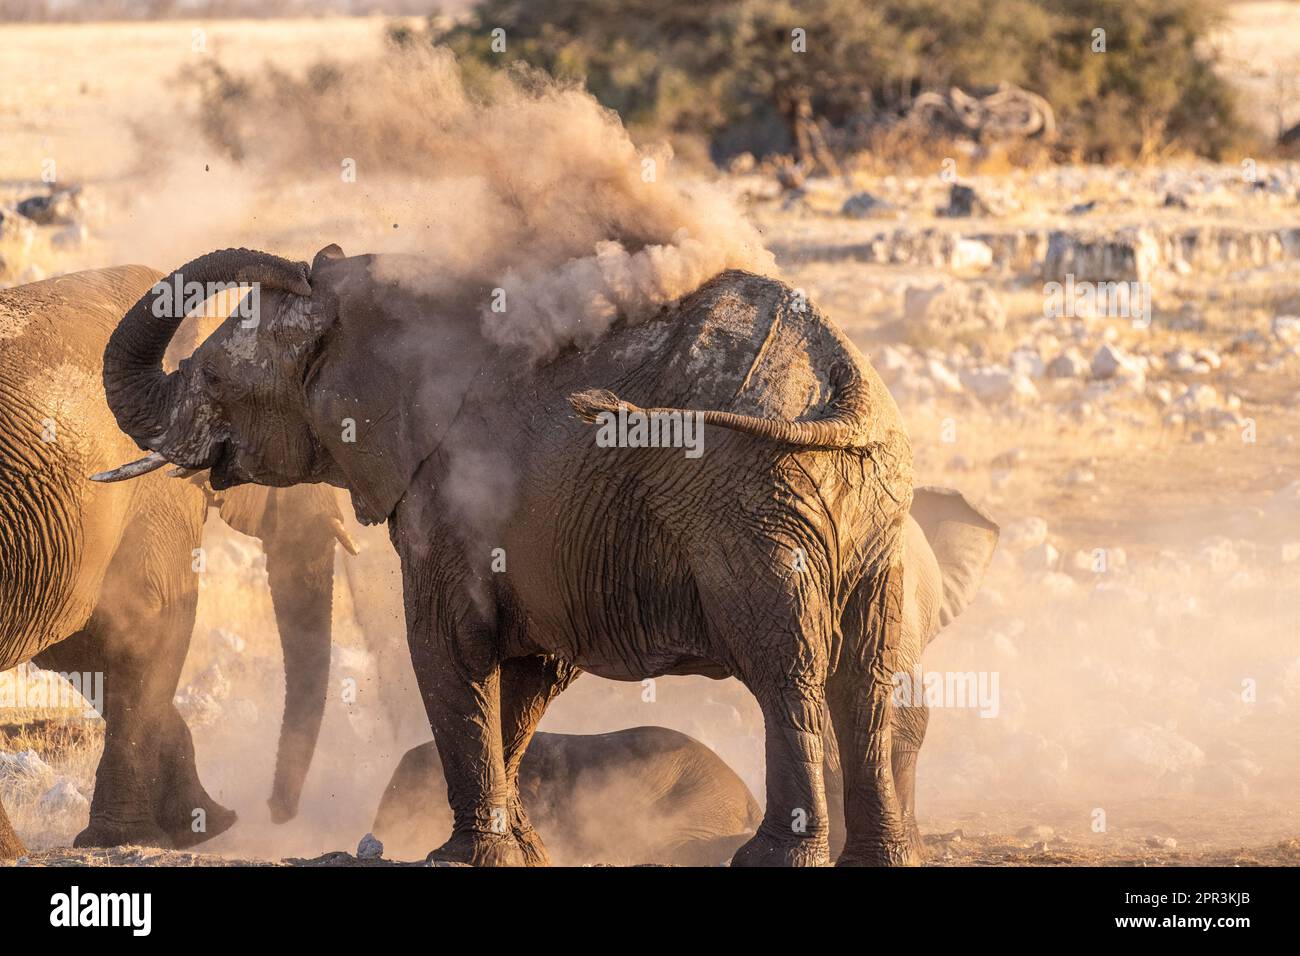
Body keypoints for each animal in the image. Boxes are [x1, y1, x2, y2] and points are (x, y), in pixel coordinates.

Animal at [0, 266, 350, 859]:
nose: (277, 814)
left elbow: (87, 649)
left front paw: (205, 826)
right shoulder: (155, 493)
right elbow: (150, 623)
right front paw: (133, 837)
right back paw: (15, 853)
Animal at [97, 246, 917, 867]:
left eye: (213, 378)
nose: (305, 265)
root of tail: (843, 384)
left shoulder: (449, 489)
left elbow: (446, 648)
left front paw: (458, 858)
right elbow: (525, 675)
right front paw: (524, 850)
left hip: (745, 501)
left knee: (786, 670)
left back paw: (774, 859)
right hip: (867, 510)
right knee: (868, 679)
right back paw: (877, 859)